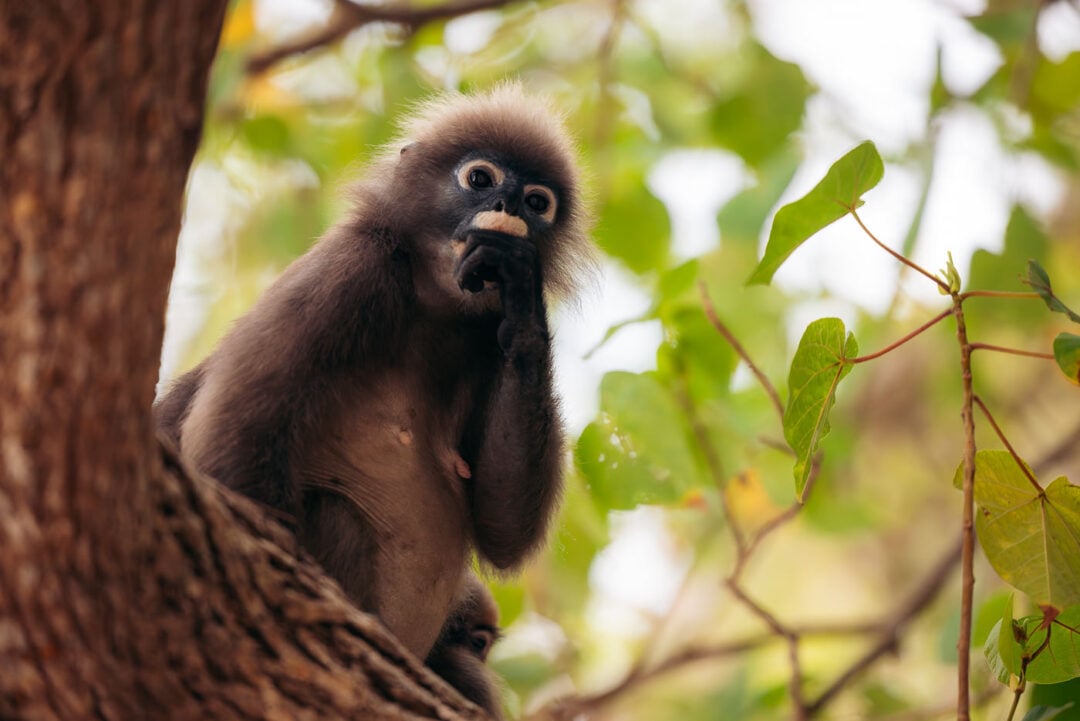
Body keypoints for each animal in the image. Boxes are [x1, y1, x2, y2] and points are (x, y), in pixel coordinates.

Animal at [155, 84, 592, 666]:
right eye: (480, 179)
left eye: (537, 202)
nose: (506, 207)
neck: (434, 300)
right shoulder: (354, 267)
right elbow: (231, 439)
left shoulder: (485, 330)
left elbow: (502, 522)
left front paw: (521, 284)